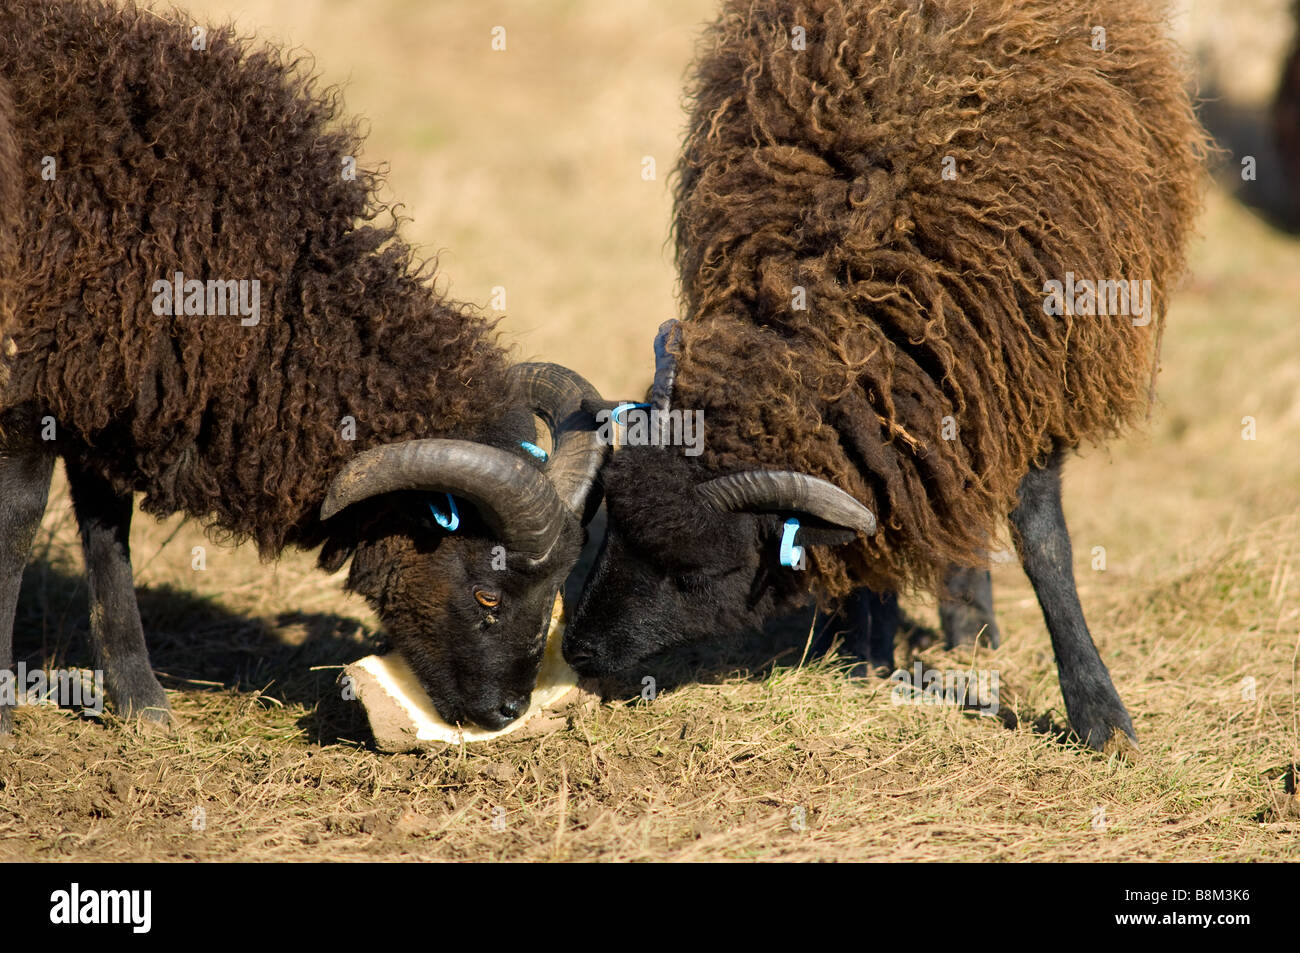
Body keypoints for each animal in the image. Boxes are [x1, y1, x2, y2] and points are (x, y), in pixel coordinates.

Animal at [0, 0, 607, 734]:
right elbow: (18, 525)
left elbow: (106, 530)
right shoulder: (33, 385)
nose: (506, 711)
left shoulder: (106, 378)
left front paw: (143, 704)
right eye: (489, 593)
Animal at [563, 0, 1209, 753]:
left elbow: (1044, 541)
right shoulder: (902, 418)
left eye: (697, 571)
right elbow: (878, 513)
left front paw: (1099, 714)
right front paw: (864, 652)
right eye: (610, 520)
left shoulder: (1023, 378)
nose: (576, 648)